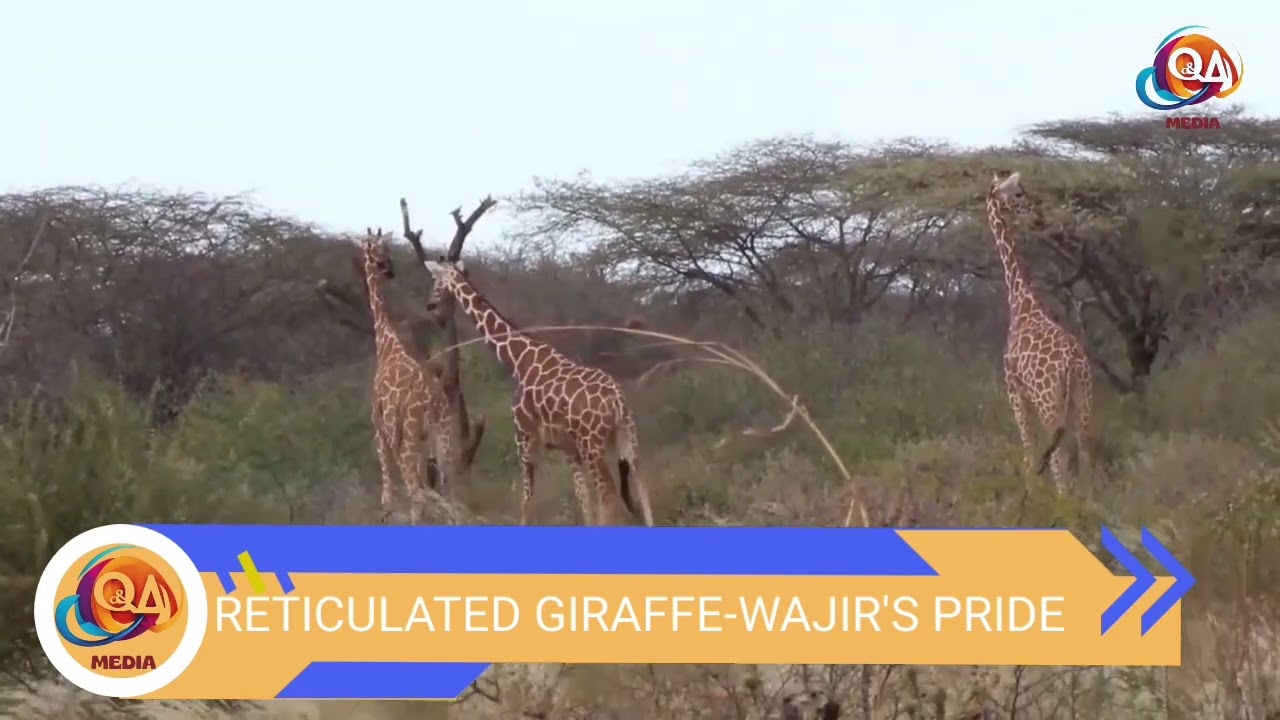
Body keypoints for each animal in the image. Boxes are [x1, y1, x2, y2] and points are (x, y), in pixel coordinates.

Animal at [357, 230, 463, 524]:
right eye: (375, 249)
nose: (388, 269)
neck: (387, 344)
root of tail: (433, 403)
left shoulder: (380, 430)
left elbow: (387, 497)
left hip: (409, 439)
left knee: (417, 492)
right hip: (441, 437)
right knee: (449, 491)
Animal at [421, 258, 656, 527]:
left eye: (436, 280)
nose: (430, 304)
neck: (519, 360)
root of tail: (616, 400)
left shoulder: (524, 436)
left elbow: (527, 497)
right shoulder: (568, 449)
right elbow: (583, 498)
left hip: (592, 444)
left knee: (608, 492)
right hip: (626, 434)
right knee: (640, 480)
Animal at [985, 171, 1093, 490]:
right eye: (1019, 193)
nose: (1039, 217)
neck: (1022, 301)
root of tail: (1071, 364)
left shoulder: (1014, 391)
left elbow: (1028, 453)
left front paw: (1031, 492)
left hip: (1050, 404)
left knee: (1058, 458)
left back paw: (1062, 499)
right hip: (1083, 398)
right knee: (1084, 452)